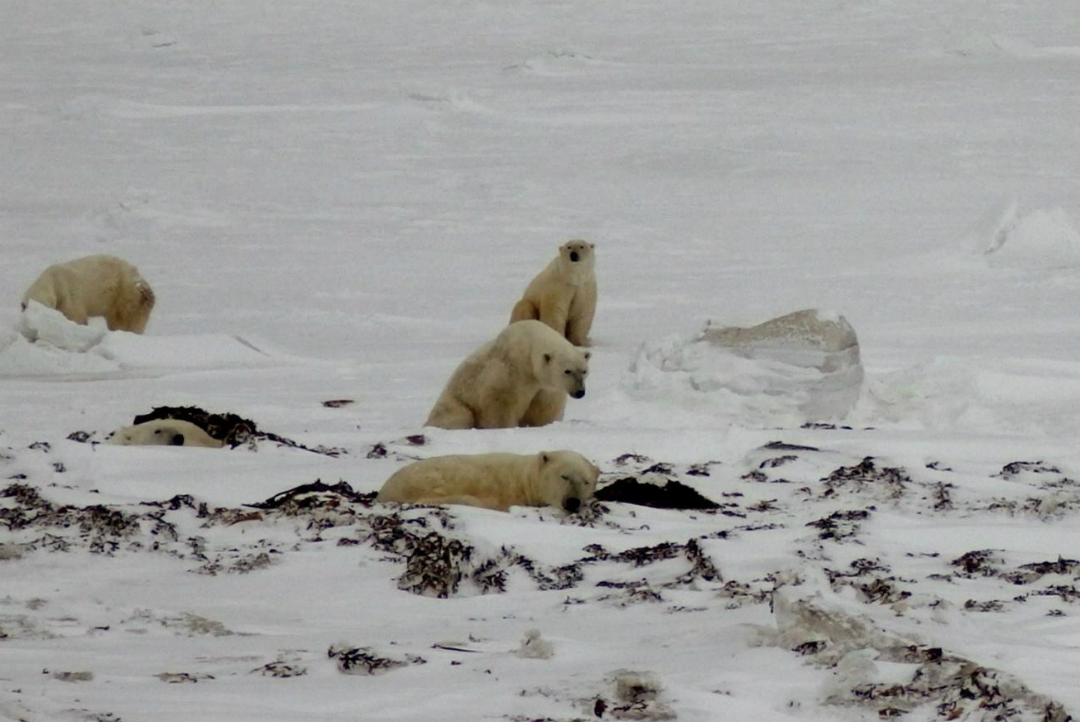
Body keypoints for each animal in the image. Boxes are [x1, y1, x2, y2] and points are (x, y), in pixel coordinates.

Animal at [21, 254, 155, 334]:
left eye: (46, 307)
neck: (53, 279)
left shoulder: (69, 295)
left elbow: (77, 317)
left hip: (125, 297)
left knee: (124, 322)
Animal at [425, 319, 590, 430]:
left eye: (584, 371)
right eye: (567, 371)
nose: (580, 392)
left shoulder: (545, 388)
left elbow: (544, 409)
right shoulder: (508, 373)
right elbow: (500, 406)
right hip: (454, 403)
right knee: (457, 415)